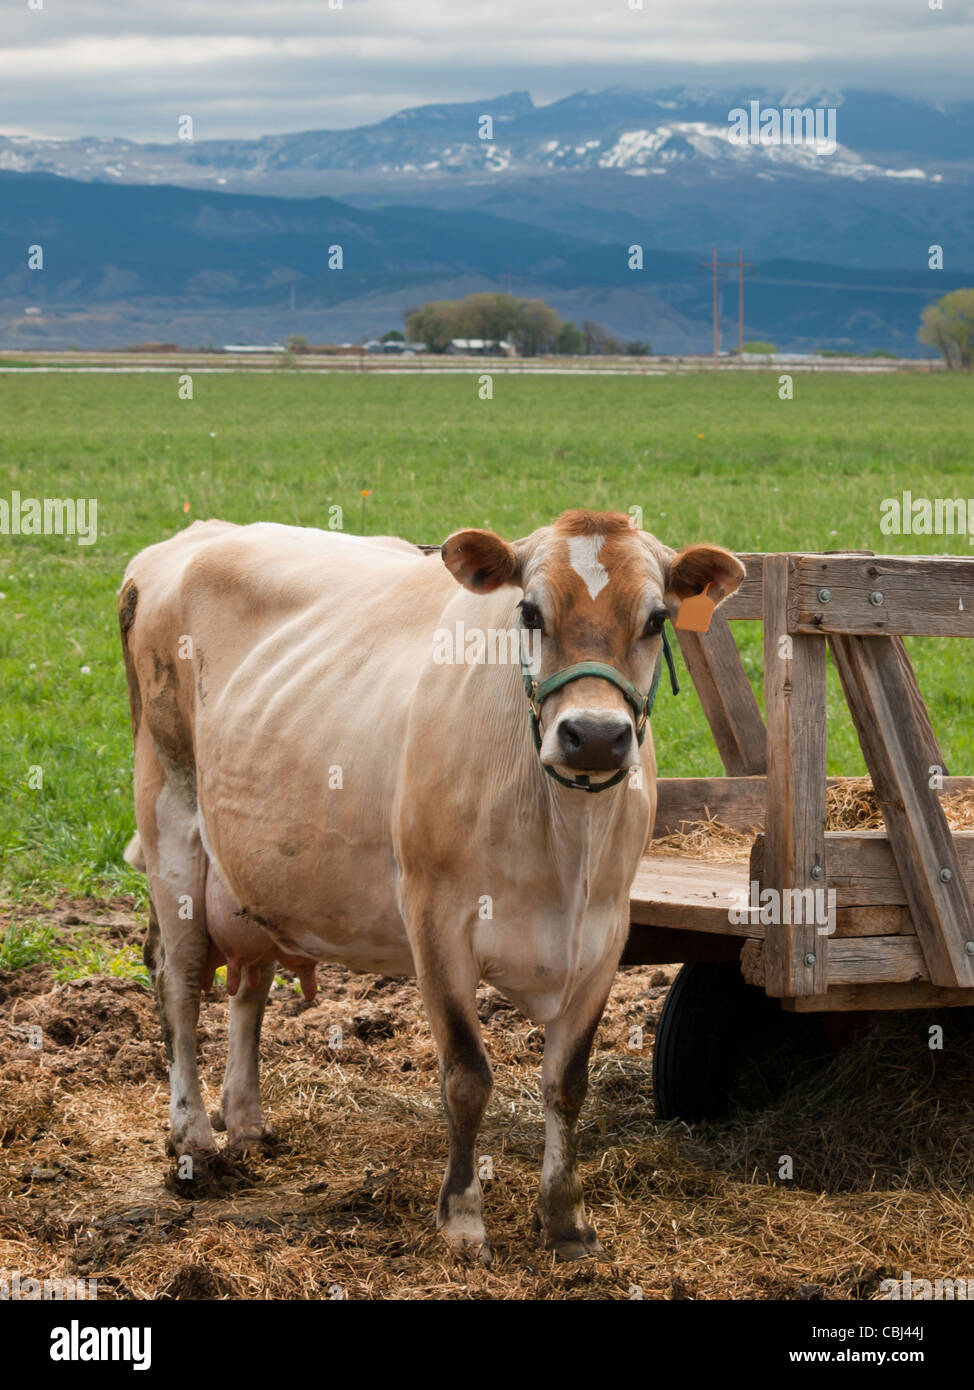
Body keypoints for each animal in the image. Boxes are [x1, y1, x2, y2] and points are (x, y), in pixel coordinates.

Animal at [119, 510, 744, 1262]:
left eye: (656, 619)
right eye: (529, 611)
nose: (594, 736)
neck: (564, 838)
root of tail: (191, 536)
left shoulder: (605, 933)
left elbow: (567, 1083)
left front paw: (566, 1220)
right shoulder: (436, 920)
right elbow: (468, 1078)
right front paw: (464, 1218)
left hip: (257, 866)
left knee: (252, 984)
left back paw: (245, 1123)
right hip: (171, 817)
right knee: (179, 983)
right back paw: (194, 1144)